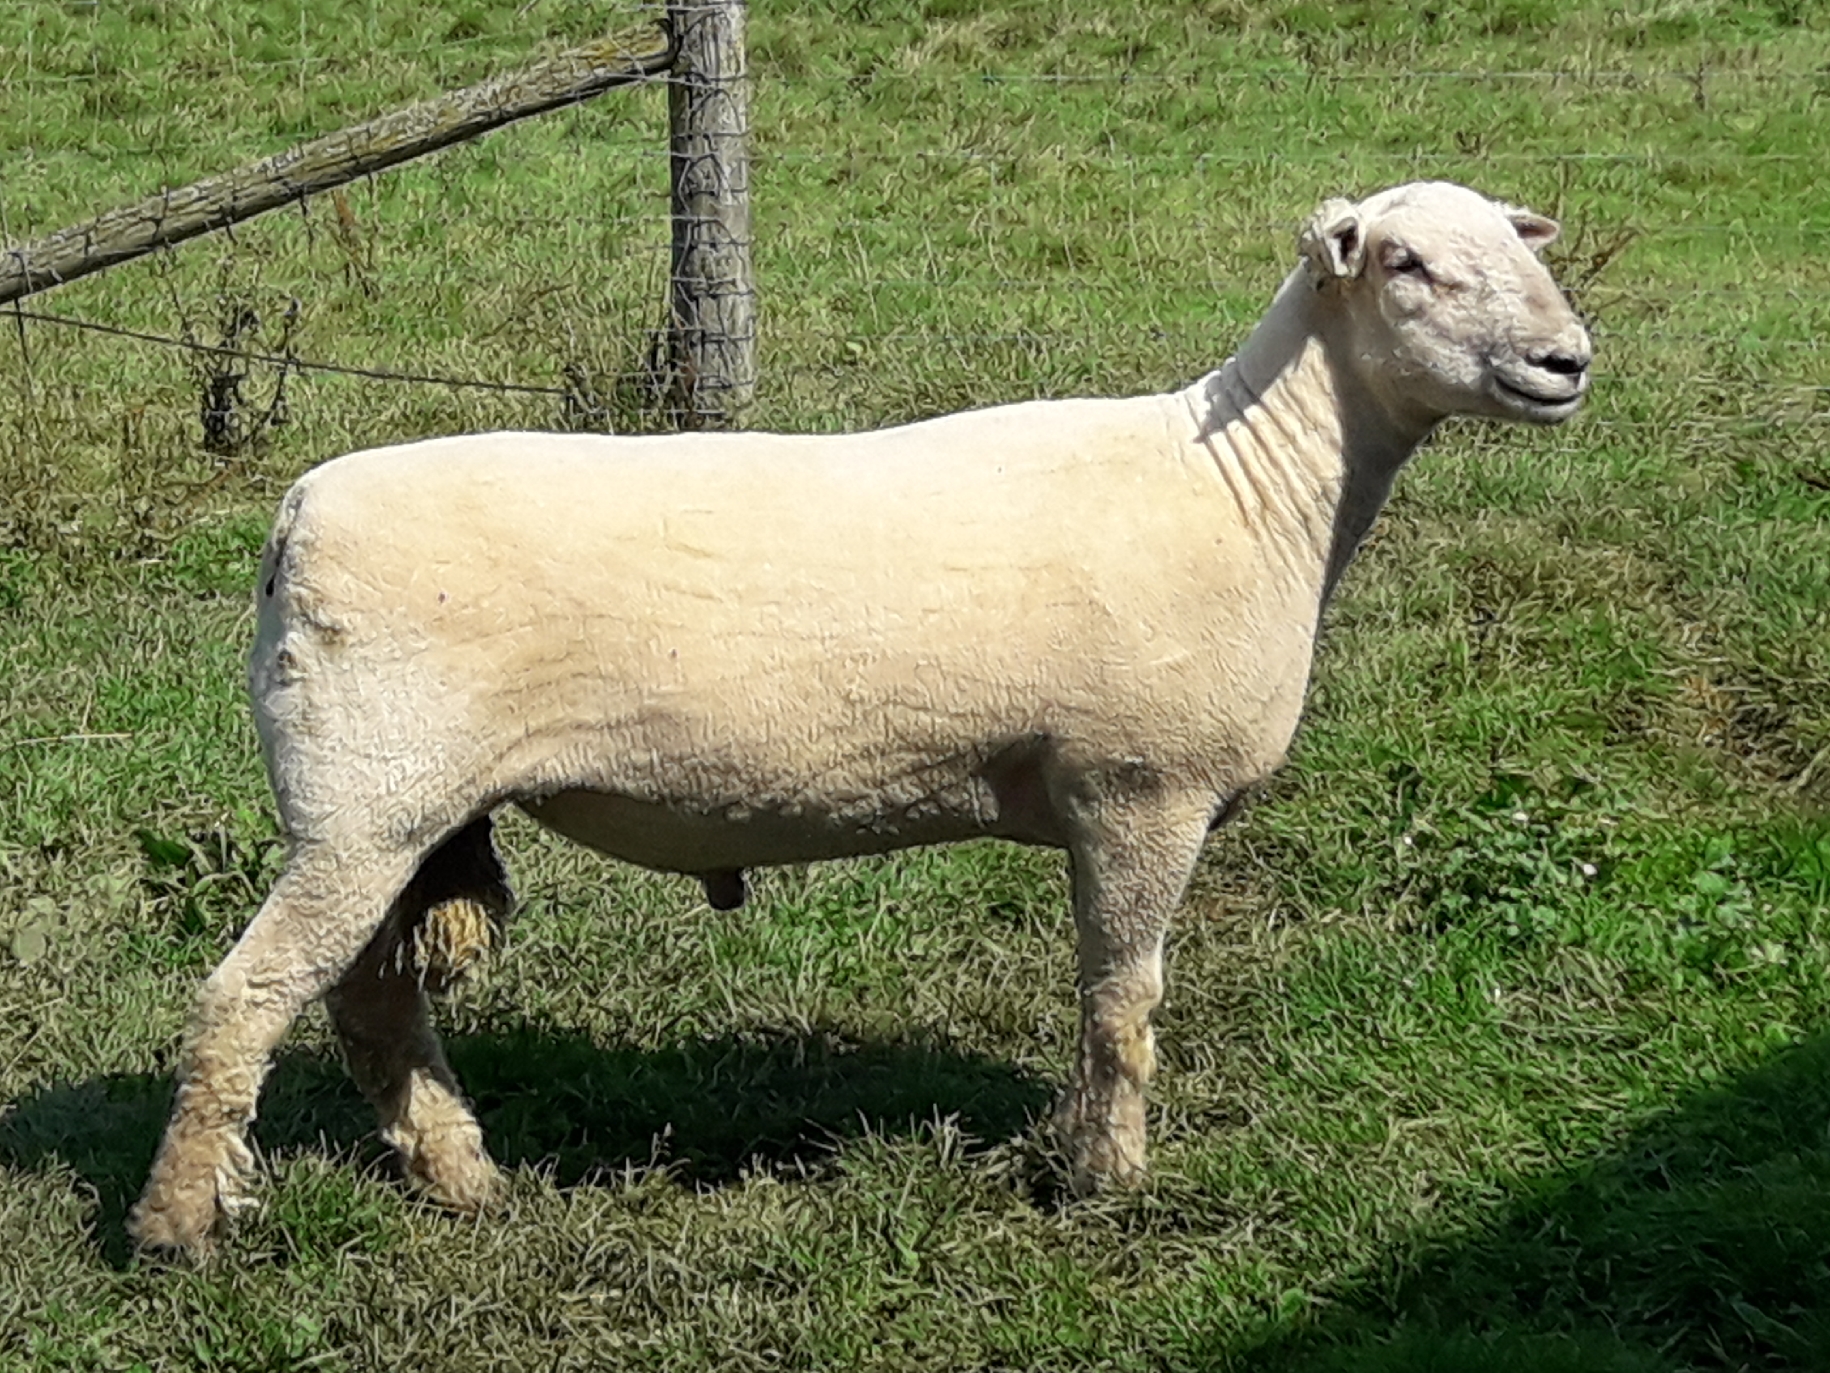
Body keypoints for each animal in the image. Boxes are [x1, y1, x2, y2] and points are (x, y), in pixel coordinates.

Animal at [128, 180, 1592, 1256]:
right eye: (1404, 264)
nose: (1566, 361)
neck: (1251, 483)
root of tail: (294, 518)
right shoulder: (1138, 787)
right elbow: (1122, 999)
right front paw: (1105, 1176)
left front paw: (1078, 1152)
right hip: (365, 795)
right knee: (246, 995)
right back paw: (179, 1224)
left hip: (398, 805)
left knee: (371, 1002)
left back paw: (457, 1176)